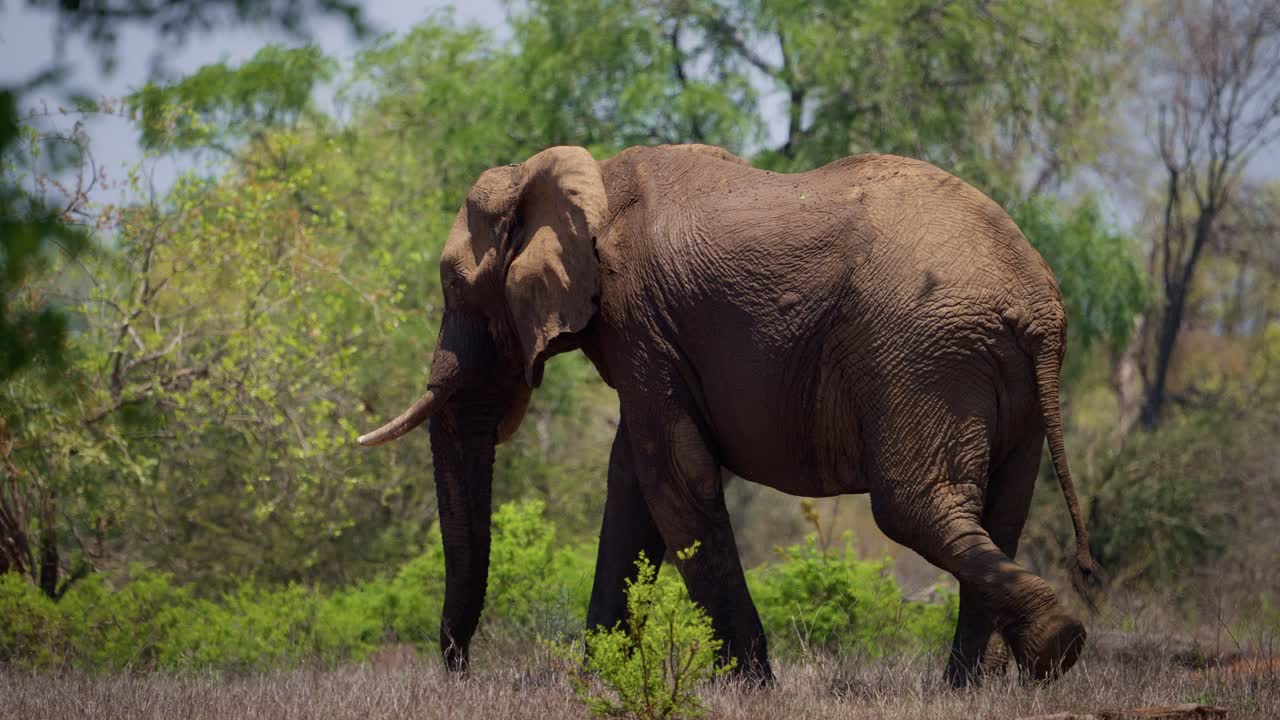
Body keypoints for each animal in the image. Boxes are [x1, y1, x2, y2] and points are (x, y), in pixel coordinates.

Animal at [356, 143, 1101, 687]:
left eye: (455, 285)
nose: (458, 670)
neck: (578, 175)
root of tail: (1036, 302)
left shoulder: (640, 321)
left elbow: (673, 479)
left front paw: (747, 687)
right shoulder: (652, 342)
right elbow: (633, 485)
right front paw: (599, 682)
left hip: (921, 353)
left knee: (912, 507)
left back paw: (1055, 646)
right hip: (990, 373)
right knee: (1001, 511)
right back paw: (979, 684)